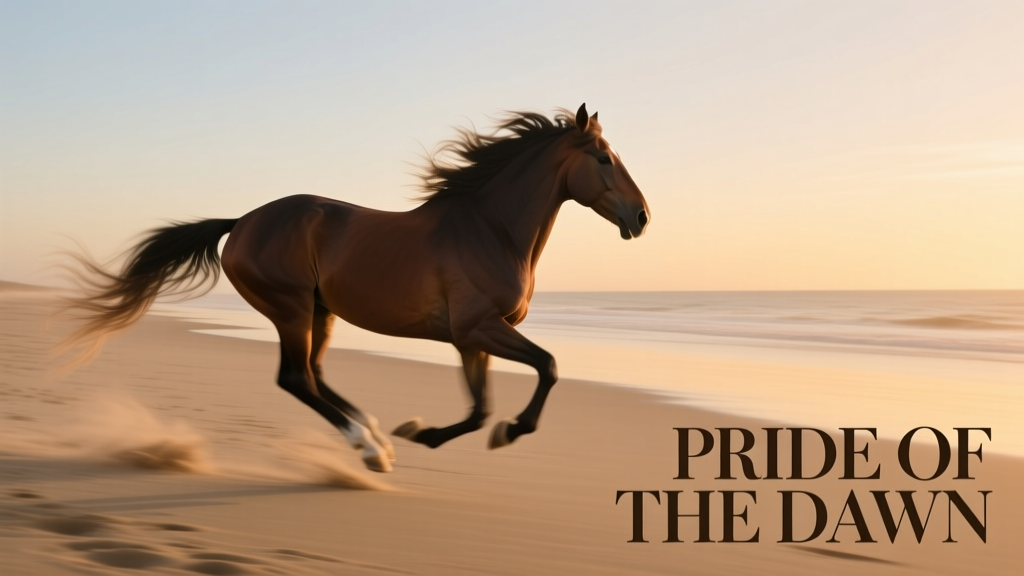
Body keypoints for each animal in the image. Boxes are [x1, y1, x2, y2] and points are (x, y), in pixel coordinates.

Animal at [59, 104, 650, 473]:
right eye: (603, 159)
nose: (642, 217)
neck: (490, 229)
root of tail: (242, 222)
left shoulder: (471, 338)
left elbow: (481, 406)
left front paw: (424, 431)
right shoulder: (478, 328)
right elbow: (546, 367)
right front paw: (497, 431)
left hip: (322, 312)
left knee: (316, 375)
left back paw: (376, 437)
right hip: (292, 308)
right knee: (296, 378)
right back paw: (367, 448)